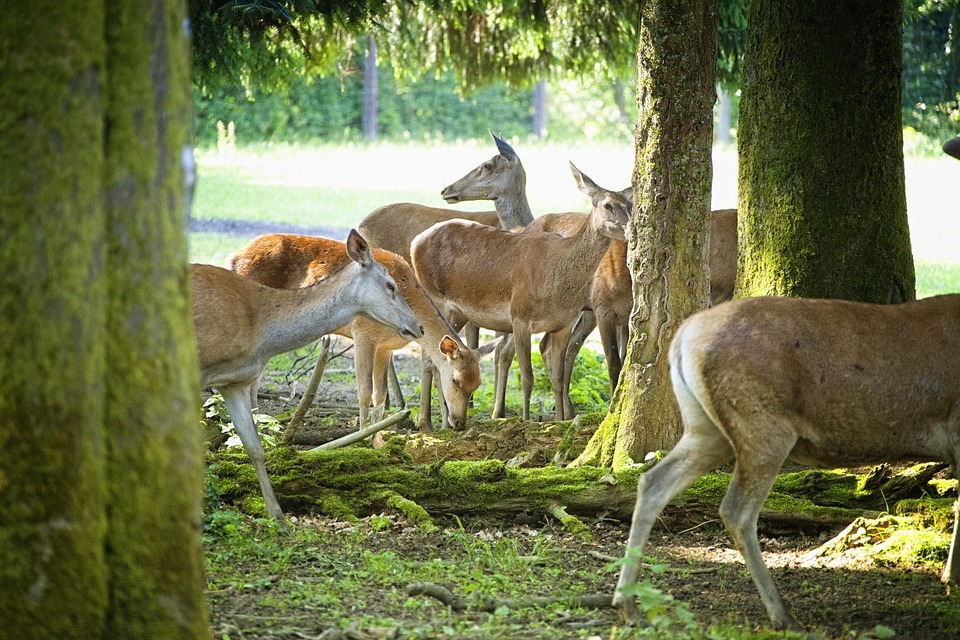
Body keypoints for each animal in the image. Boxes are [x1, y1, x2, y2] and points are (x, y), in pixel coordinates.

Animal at [193, 230, 423, 524]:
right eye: (391, 285)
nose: (418, 326)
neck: (259, 331)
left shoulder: (234, 381)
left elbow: (254, 446)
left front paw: (279, 517)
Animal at [229, 233, 500, 432]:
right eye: (455, 380)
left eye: (477, 384)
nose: (459, 423)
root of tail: (234, 258)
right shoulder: (363, 335)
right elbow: (364, 392)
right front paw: (361, 437)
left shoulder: (385, 347)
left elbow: (380, 395)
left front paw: (379, 437)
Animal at [411, 163, 631, 422]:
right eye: (608, 205)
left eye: (630, 205)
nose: (631, 227)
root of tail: (415, 242)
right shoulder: (520, 316)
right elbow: (527, 377)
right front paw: (527, 420)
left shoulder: (564, 324)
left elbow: (557, 377)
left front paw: (560, 420)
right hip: (433, 299)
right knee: (428, 357)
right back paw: (430, 422)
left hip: (459, 313)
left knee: (438, 356)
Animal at [613, 293, 960, 631]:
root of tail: (682, 338)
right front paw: (951, 581)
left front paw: (949, 578)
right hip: (764, 426)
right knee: (736, 510)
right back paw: (782, 614)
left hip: (705, 429)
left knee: (653, 482)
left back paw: (627, 604)